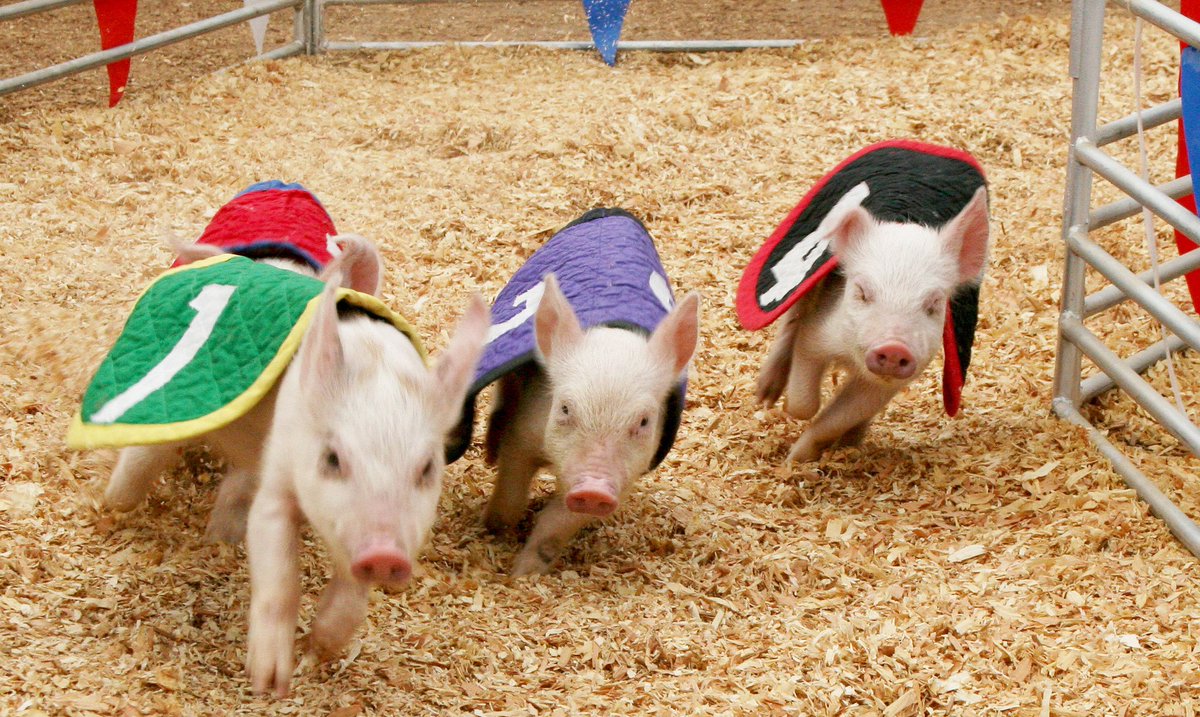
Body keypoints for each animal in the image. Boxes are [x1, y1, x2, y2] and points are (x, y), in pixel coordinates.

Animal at [482, 274, 700, 576]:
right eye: (565, 408)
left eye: (644, 421)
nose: (593, 489)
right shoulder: (523, 433)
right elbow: (511, 493)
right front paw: (494, 533)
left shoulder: (626, 477)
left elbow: (555, 524)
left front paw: (526, 574)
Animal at [755, 181, 989, 463]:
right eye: (863, 292)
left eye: (933, 303)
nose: (894, 347)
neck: (851, 359)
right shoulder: (818, 333)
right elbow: (805, 402)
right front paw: (789, 445)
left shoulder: (890, 383)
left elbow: (840, 417)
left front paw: (805, 456)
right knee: (792, 318)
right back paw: (765, 396)